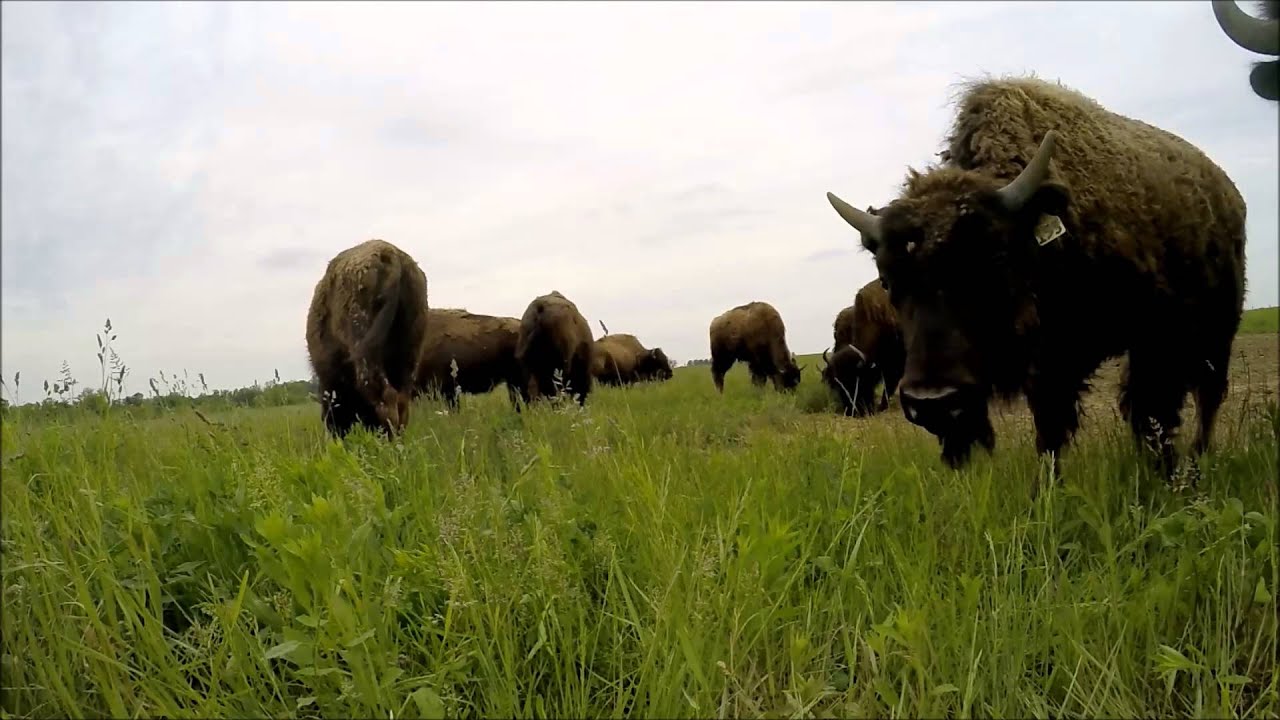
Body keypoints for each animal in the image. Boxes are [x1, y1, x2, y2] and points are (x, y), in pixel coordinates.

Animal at [305, 238, 429, 438]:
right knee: (402, 403)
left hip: (365, 353)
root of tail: (390, 254)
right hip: (411, 356)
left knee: (386, 399)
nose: (334, 433)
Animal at [822, 278, 904, 416]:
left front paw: (882, 406)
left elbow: (889, 384)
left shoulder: (894, 364)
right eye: (837, 384)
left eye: (857, 381)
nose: (851, 411)